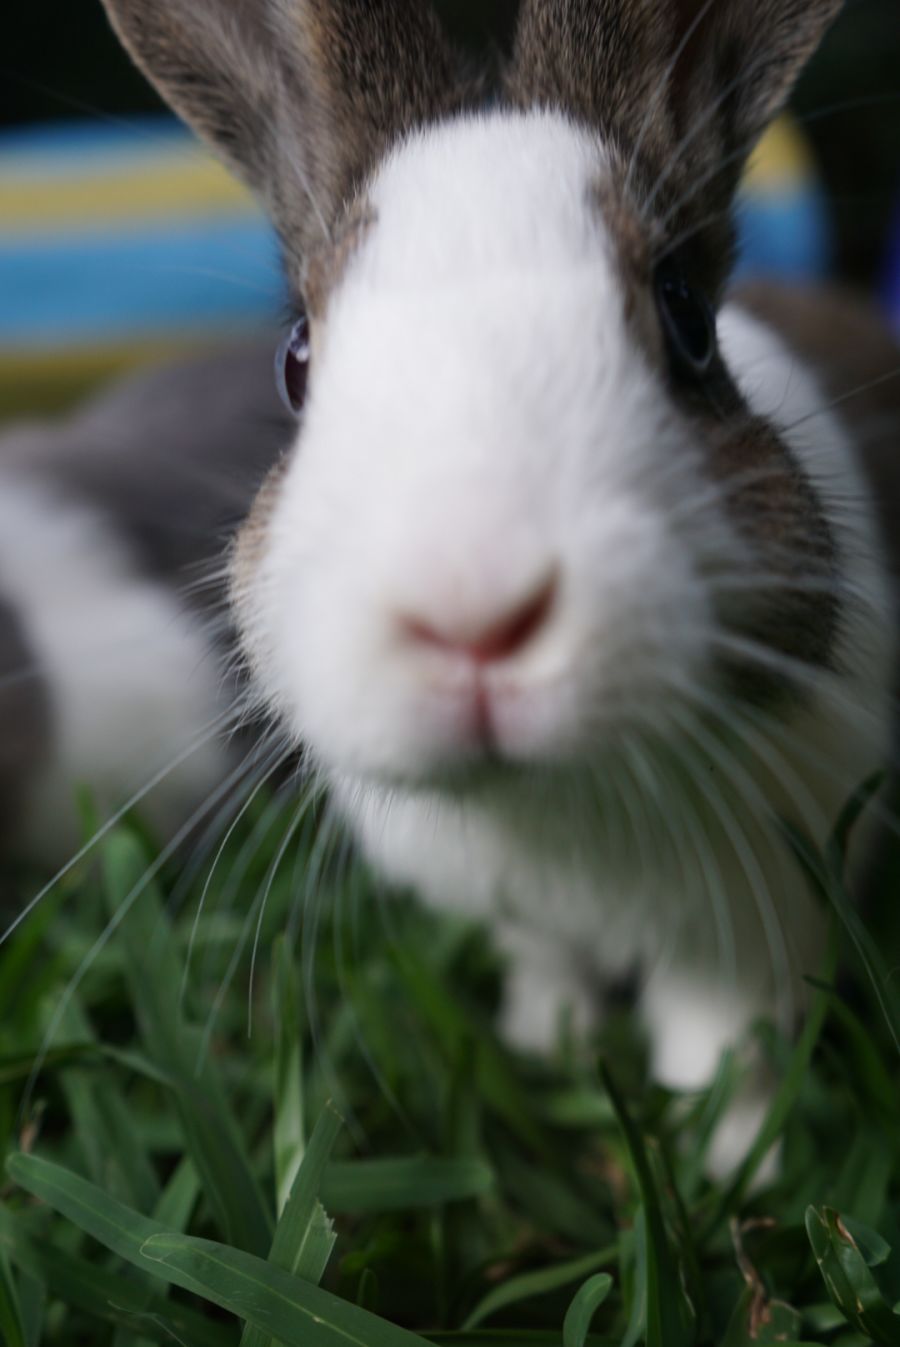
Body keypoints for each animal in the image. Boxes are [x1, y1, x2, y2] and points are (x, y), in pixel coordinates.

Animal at [37, 0, 898, 1135]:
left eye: (686, 319)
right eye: (297, 361)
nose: (472, 614)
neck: (558, 806)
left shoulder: (757, 926)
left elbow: (723, 1049)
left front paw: (732, 1149)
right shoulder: (519, 916)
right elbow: (546, 969)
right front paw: (550, 1045)